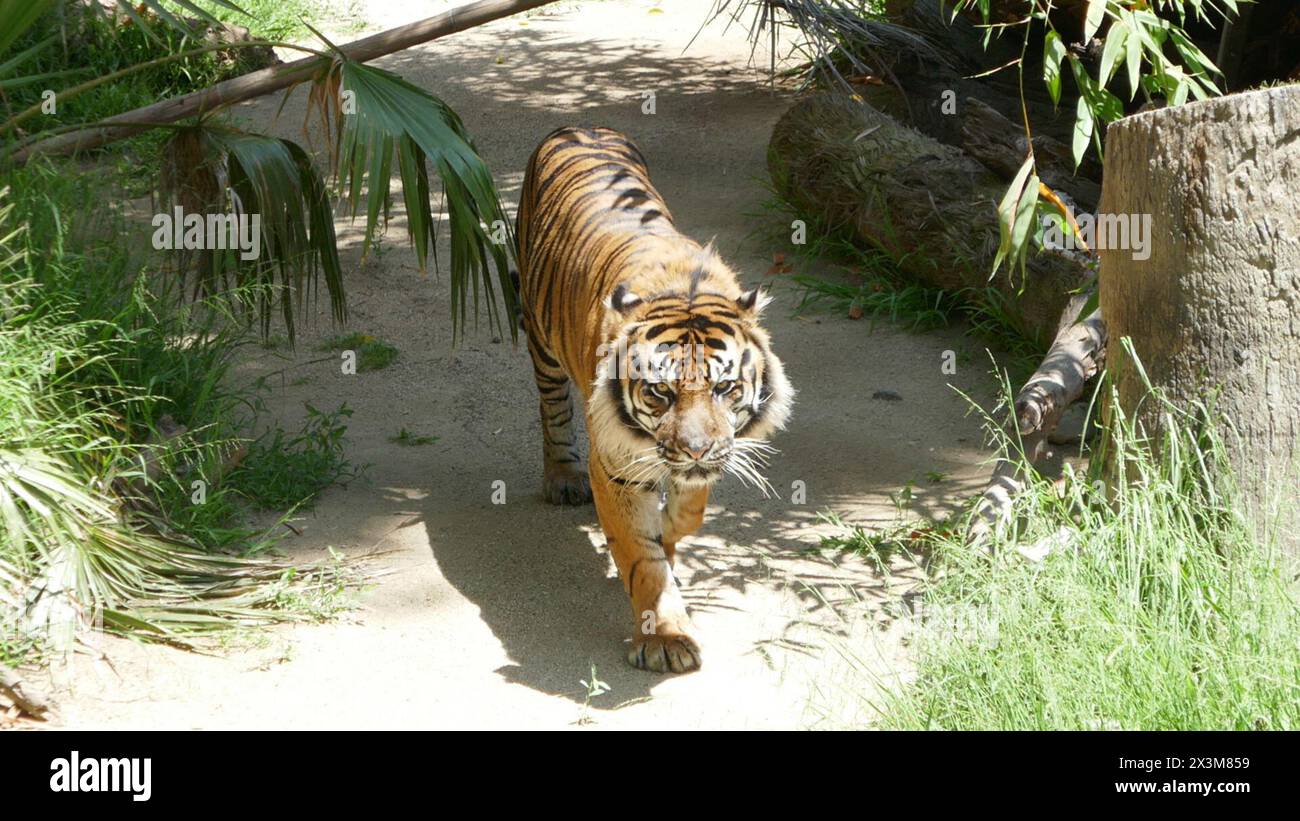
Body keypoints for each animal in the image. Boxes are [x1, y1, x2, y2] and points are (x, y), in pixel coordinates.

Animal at [515, 126, 793, 674]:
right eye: (660, 392)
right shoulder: (617, 461)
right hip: (540, 337)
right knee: (552, 407)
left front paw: (668, 532)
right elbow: (643, 560)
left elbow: (689, 514)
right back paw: (562, 478)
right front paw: (666, 637)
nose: (695, 450)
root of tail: (578, 127)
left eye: (724, 388)